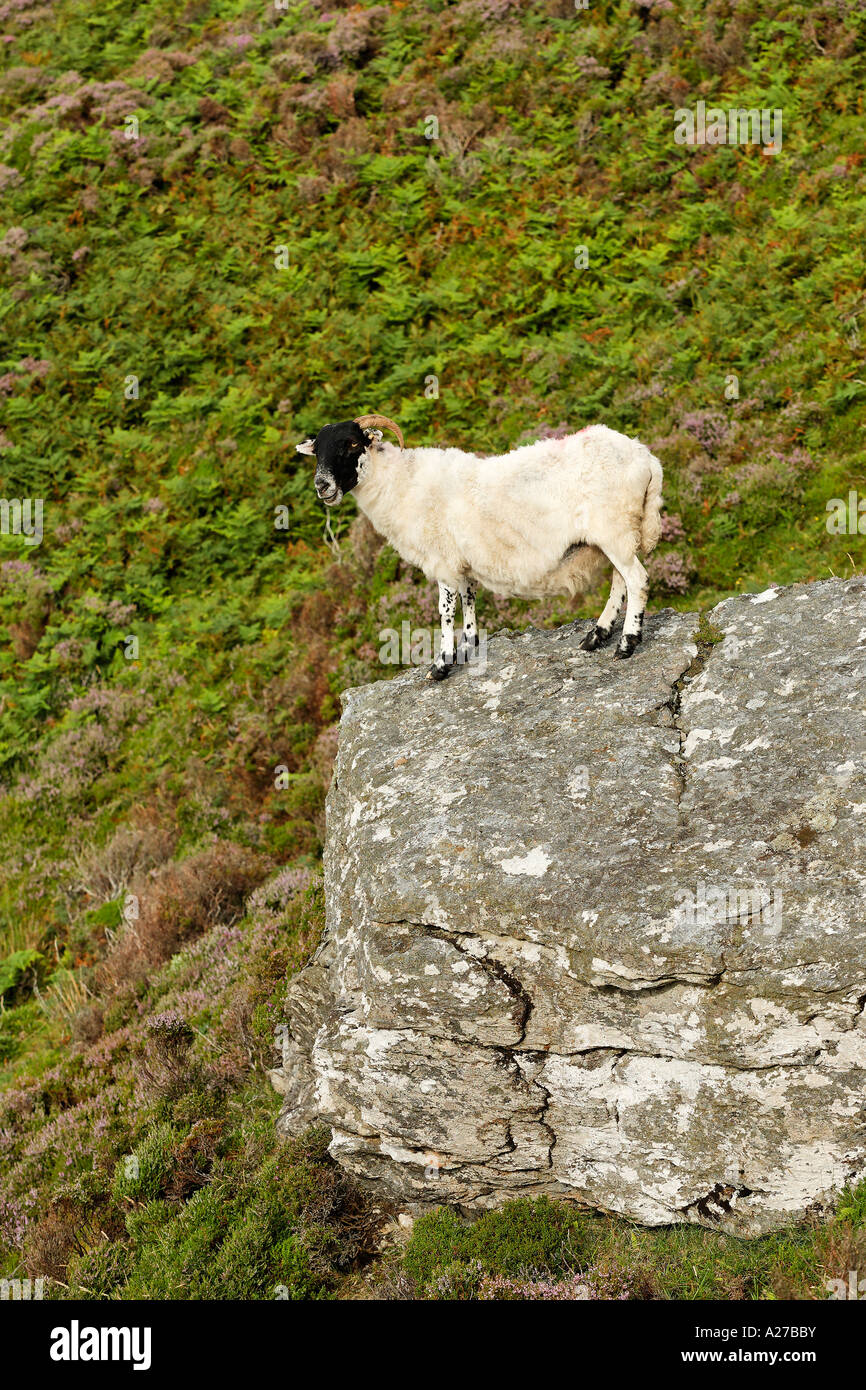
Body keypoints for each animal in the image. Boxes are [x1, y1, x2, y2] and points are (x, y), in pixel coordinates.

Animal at [297, 413, 664, 679]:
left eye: (352, 443)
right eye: (318, 451)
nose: (322, 486)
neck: (401, 484)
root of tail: (645, 457)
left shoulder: (443, 561)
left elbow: (445, 611)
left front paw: (441, 665)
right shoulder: (463, 563)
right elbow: (469, 598)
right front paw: (469, 646)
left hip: (614, 528)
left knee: (637, 580)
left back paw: (627, 643)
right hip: (618, 533)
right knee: (620, 581)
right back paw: (597, 635)